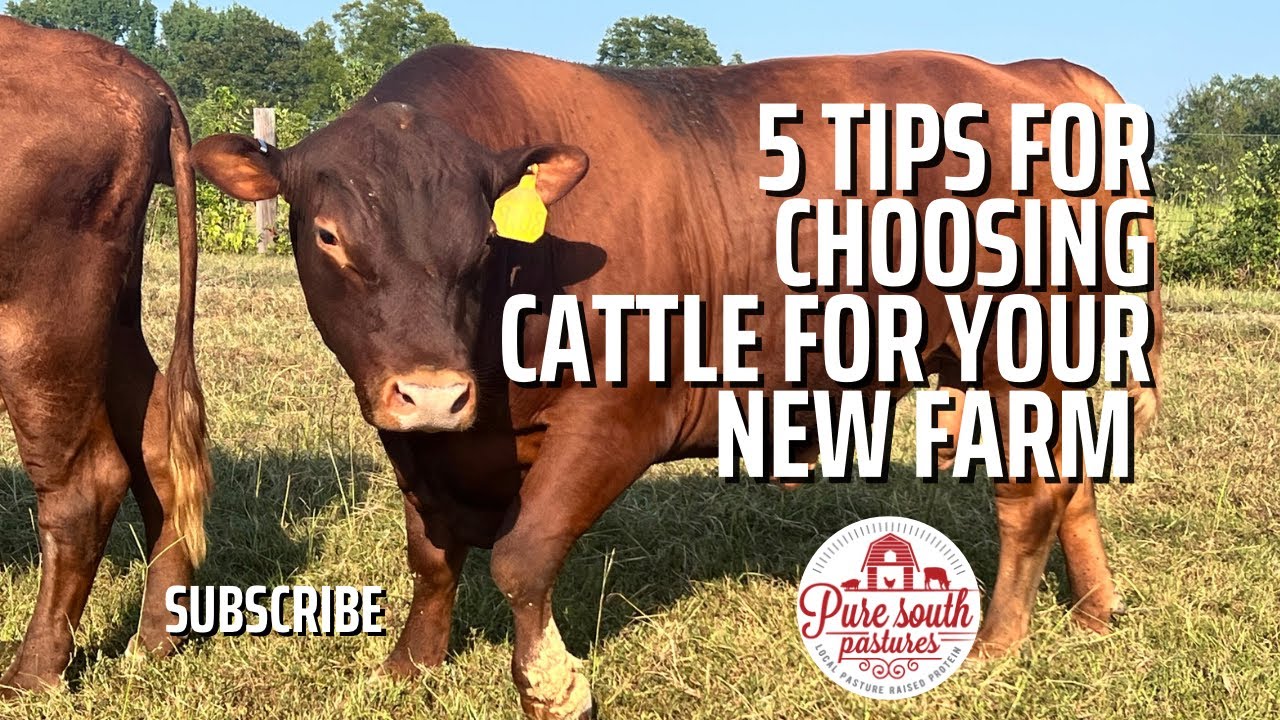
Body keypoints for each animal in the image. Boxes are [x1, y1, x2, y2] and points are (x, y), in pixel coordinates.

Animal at [0, 18, 212, 696]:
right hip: (112, 319)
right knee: (159, 448)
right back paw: (156, 640)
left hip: (41, 327)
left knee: (83, 485)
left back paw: (31, 674)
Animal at [192, 46, 1163, 719]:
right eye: (327, 235)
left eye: (485, 239)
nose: (433, 390)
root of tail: (1032, 77)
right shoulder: (412, 433)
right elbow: (433, 555)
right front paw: (409, 665)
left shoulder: (616, 416)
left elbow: (521, 554)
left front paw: (550, 683)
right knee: (1072, 482)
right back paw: (1093, 614)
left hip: (1015, 353)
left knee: (1028, 496)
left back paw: (999, 643)